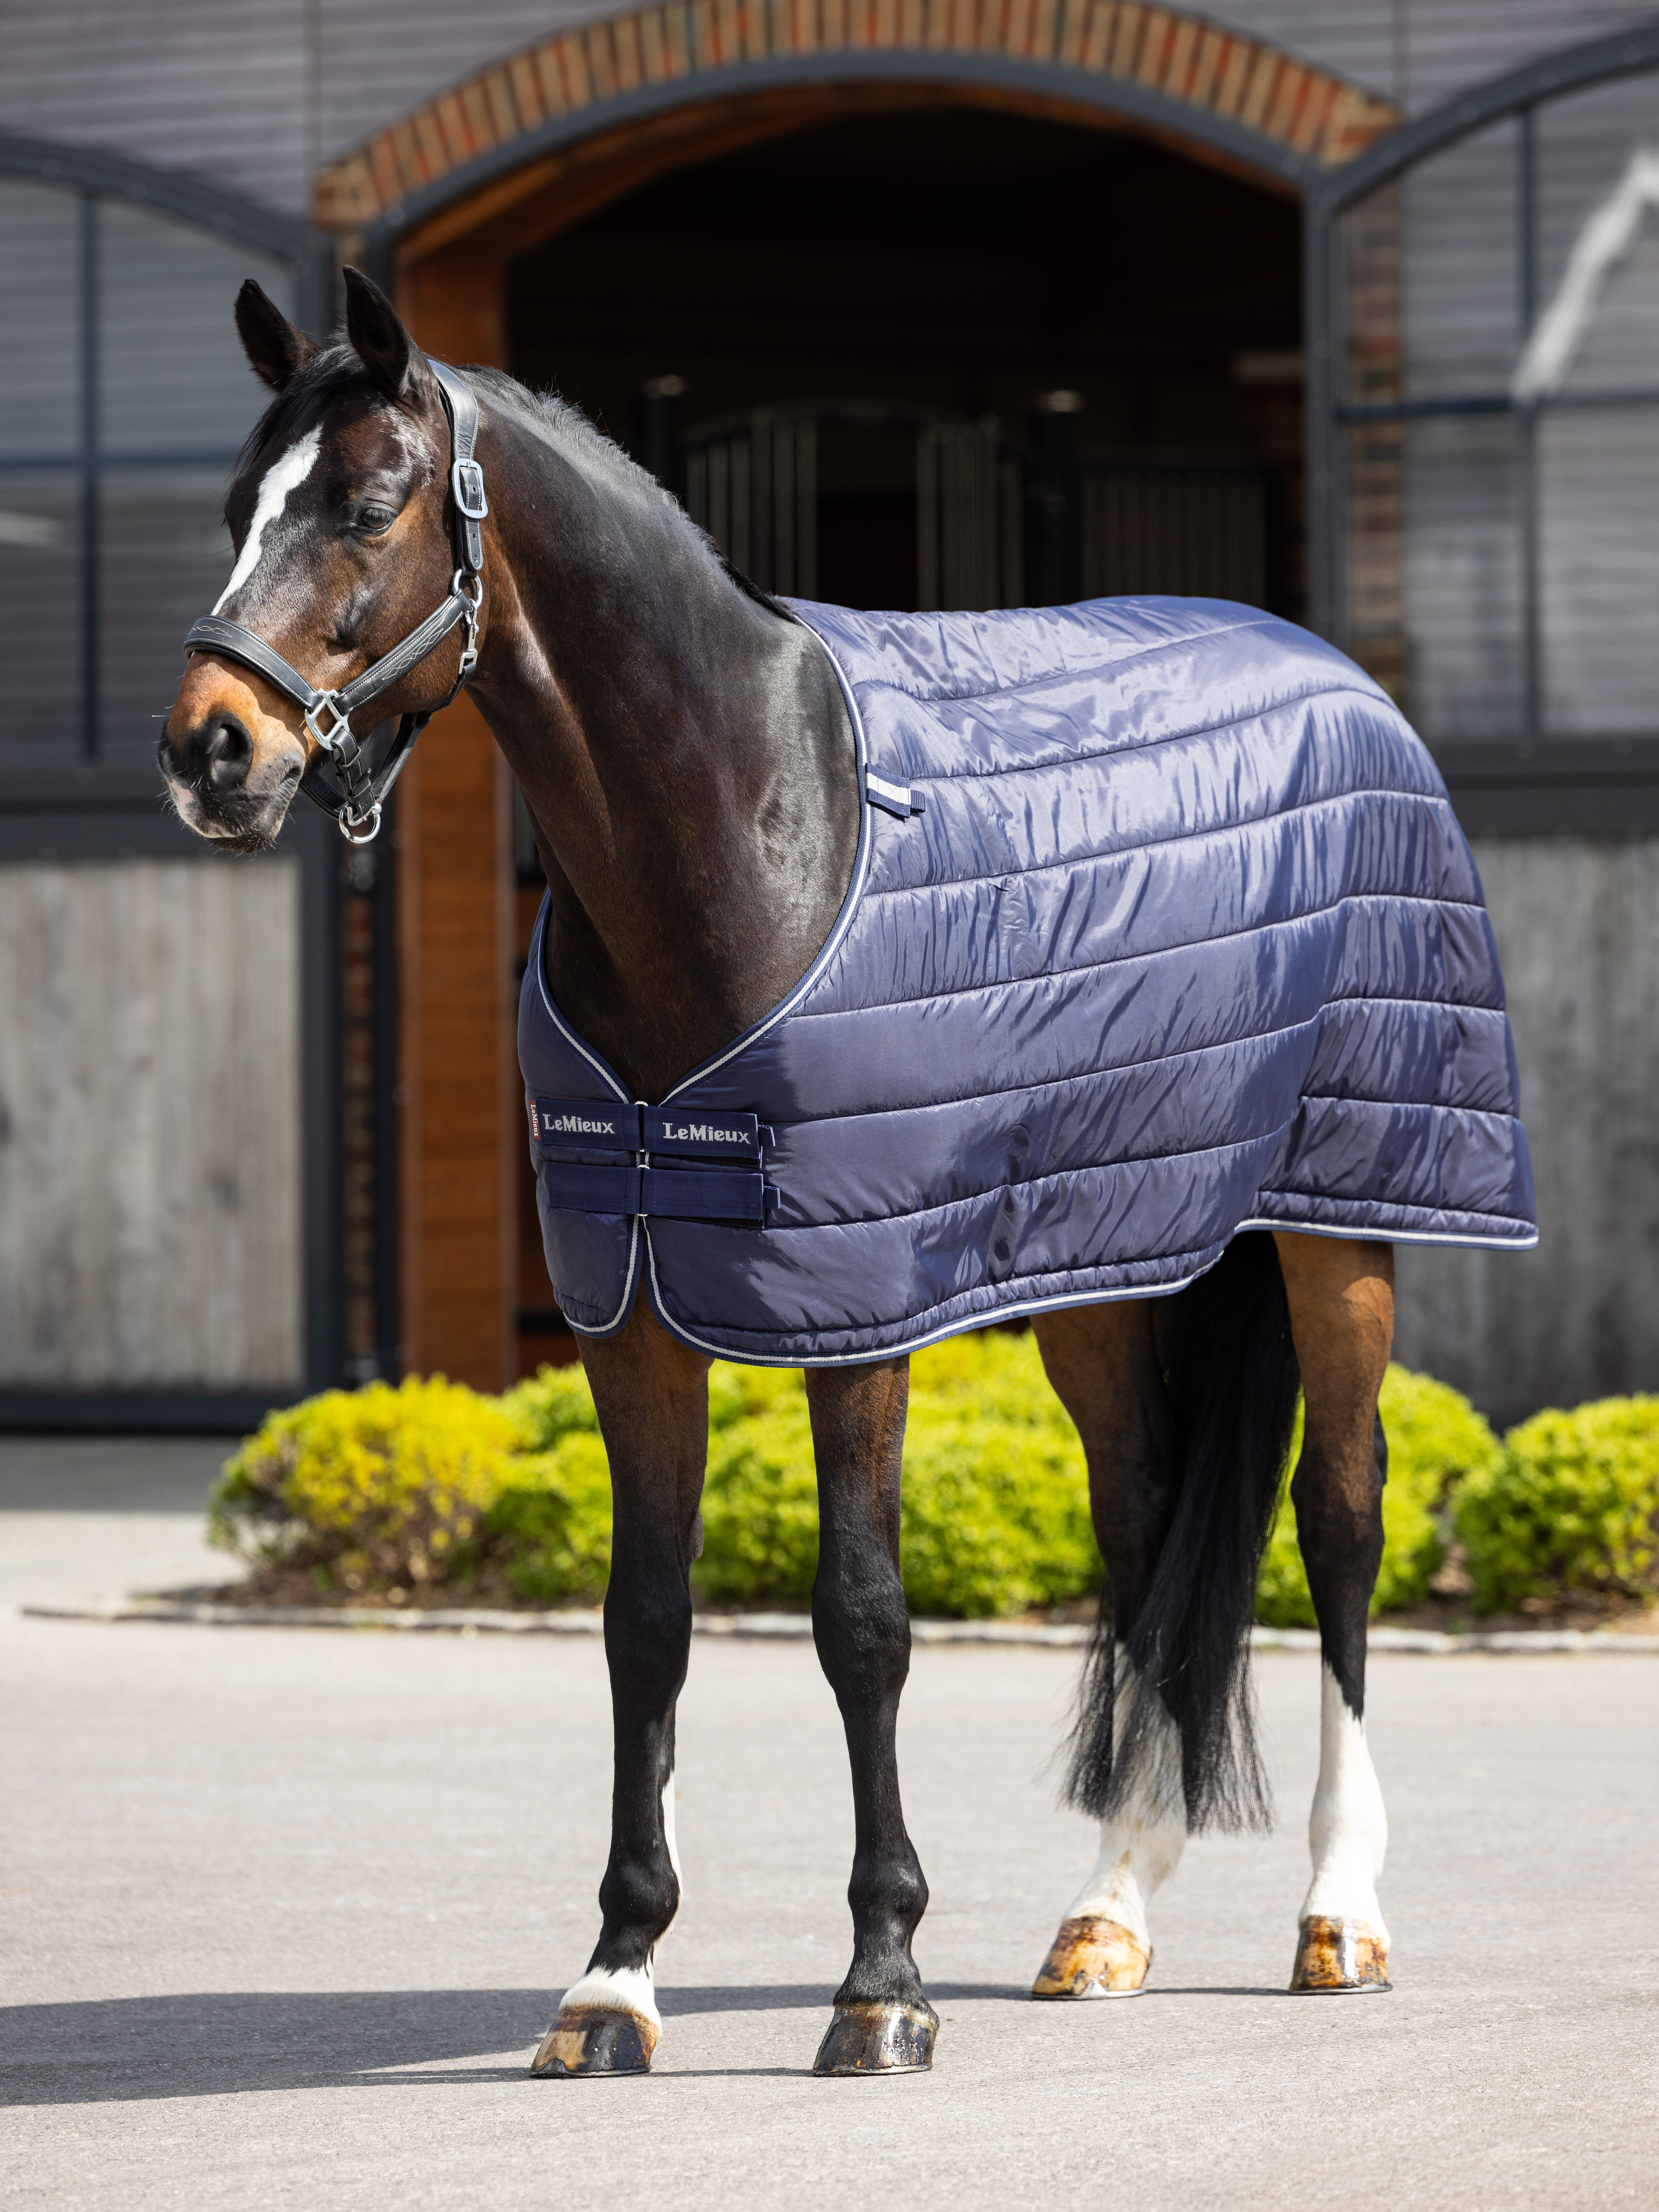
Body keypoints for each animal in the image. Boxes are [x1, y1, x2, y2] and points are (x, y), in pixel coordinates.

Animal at [160, 269, 1535, 2080]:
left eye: (372, 501)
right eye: (234, 506)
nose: (208, 749)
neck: (753, 826)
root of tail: (1337, 669)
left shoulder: (856, 1309)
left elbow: (862, 1618)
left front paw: (882, 1982)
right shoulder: (631, 1306)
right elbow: (645, 1621)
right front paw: (614, 1979)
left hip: (1343, 1226)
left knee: (1341, 1516)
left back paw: (1339, 1913)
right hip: (1100, 1263)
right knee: (1146, 1530)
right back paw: (1108, 1912)